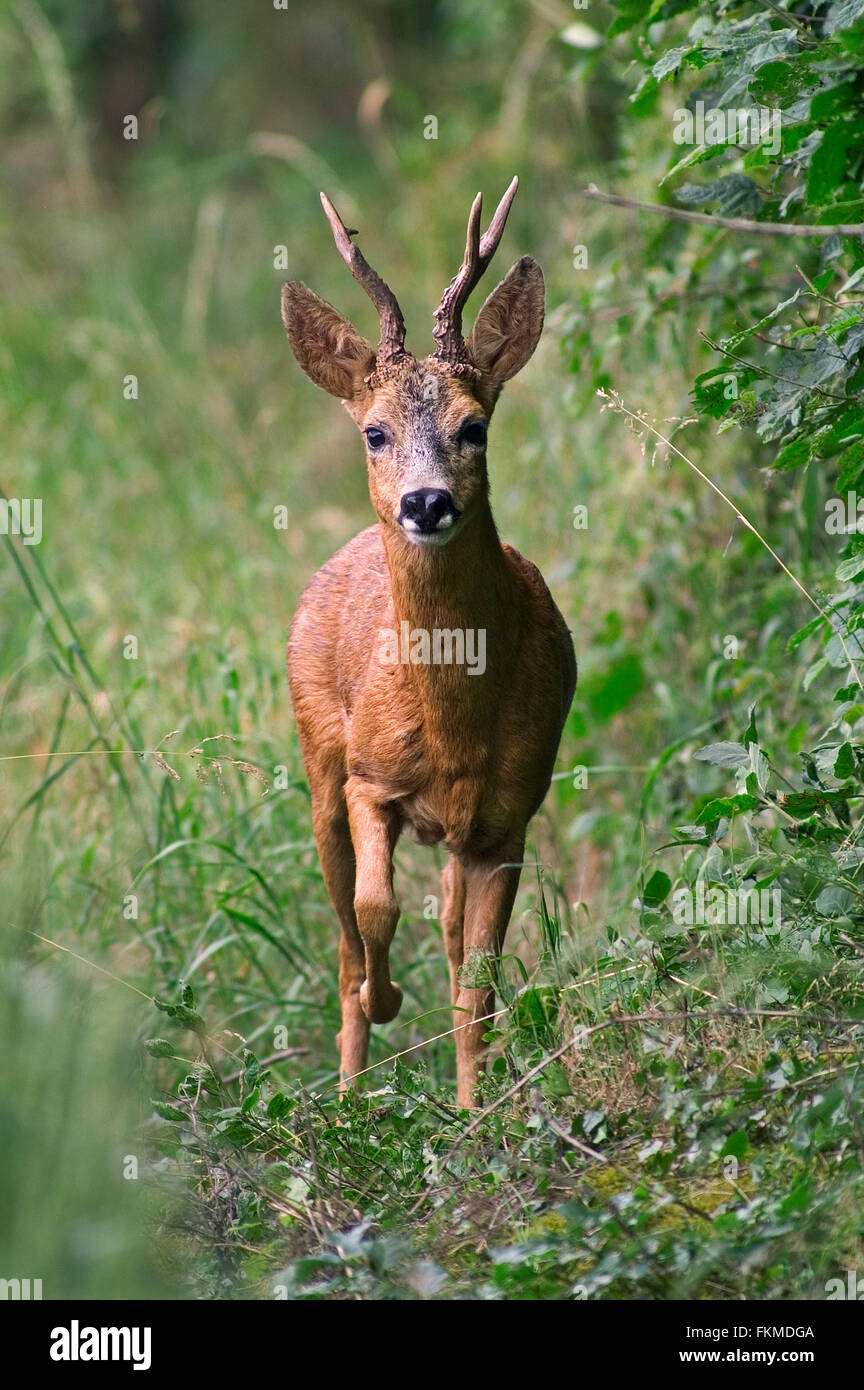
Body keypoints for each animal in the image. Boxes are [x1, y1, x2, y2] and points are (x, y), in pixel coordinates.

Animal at [281, 177, 577, 1108]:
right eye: (373, 432)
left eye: (474, 425)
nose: (426, 502)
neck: (453, 725)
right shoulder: (369, 779)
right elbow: (376, 912)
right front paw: (387, 1001)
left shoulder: (508, 815)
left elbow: (476, 973)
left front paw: (477, 1109)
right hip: (316, 757)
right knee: (343, 936)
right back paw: (347, 1097)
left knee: (447, 937)